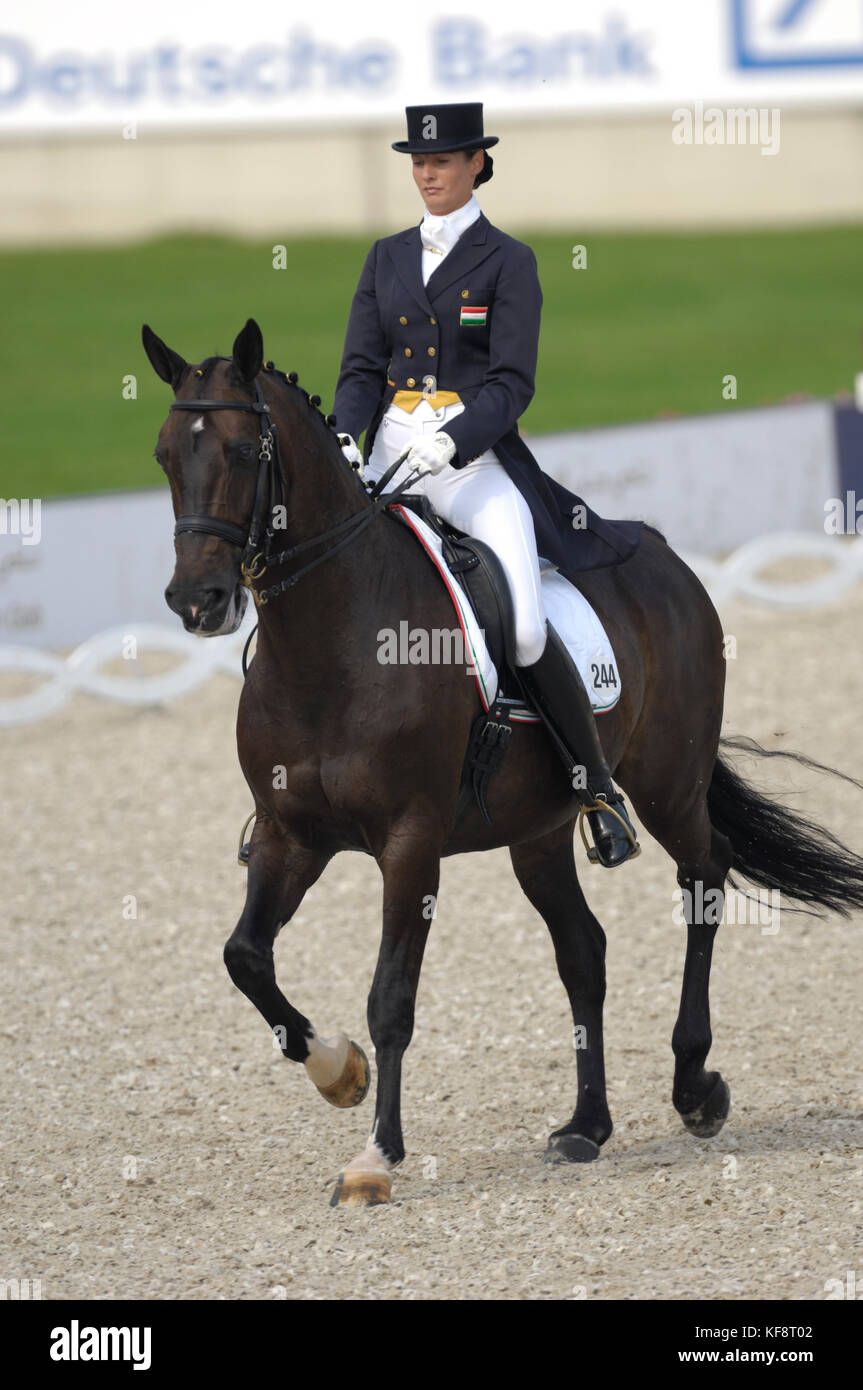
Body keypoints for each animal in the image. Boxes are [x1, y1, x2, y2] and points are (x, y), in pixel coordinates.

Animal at [142, 317, 863, 1207]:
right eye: (163, 455)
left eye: (243, 451)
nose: (196, 601)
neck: (328, 642)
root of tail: (660, 553)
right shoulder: (289, 834)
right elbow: (244, 957)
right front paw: (337, 1071)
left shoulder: (409, 843)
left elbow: (391, 998)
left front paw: (374, 1157)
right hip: (539, 830)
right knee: (583, 951)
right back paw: (586, 1126)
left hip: (666, 781)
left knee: (704, 874)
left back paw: (694, 1086)